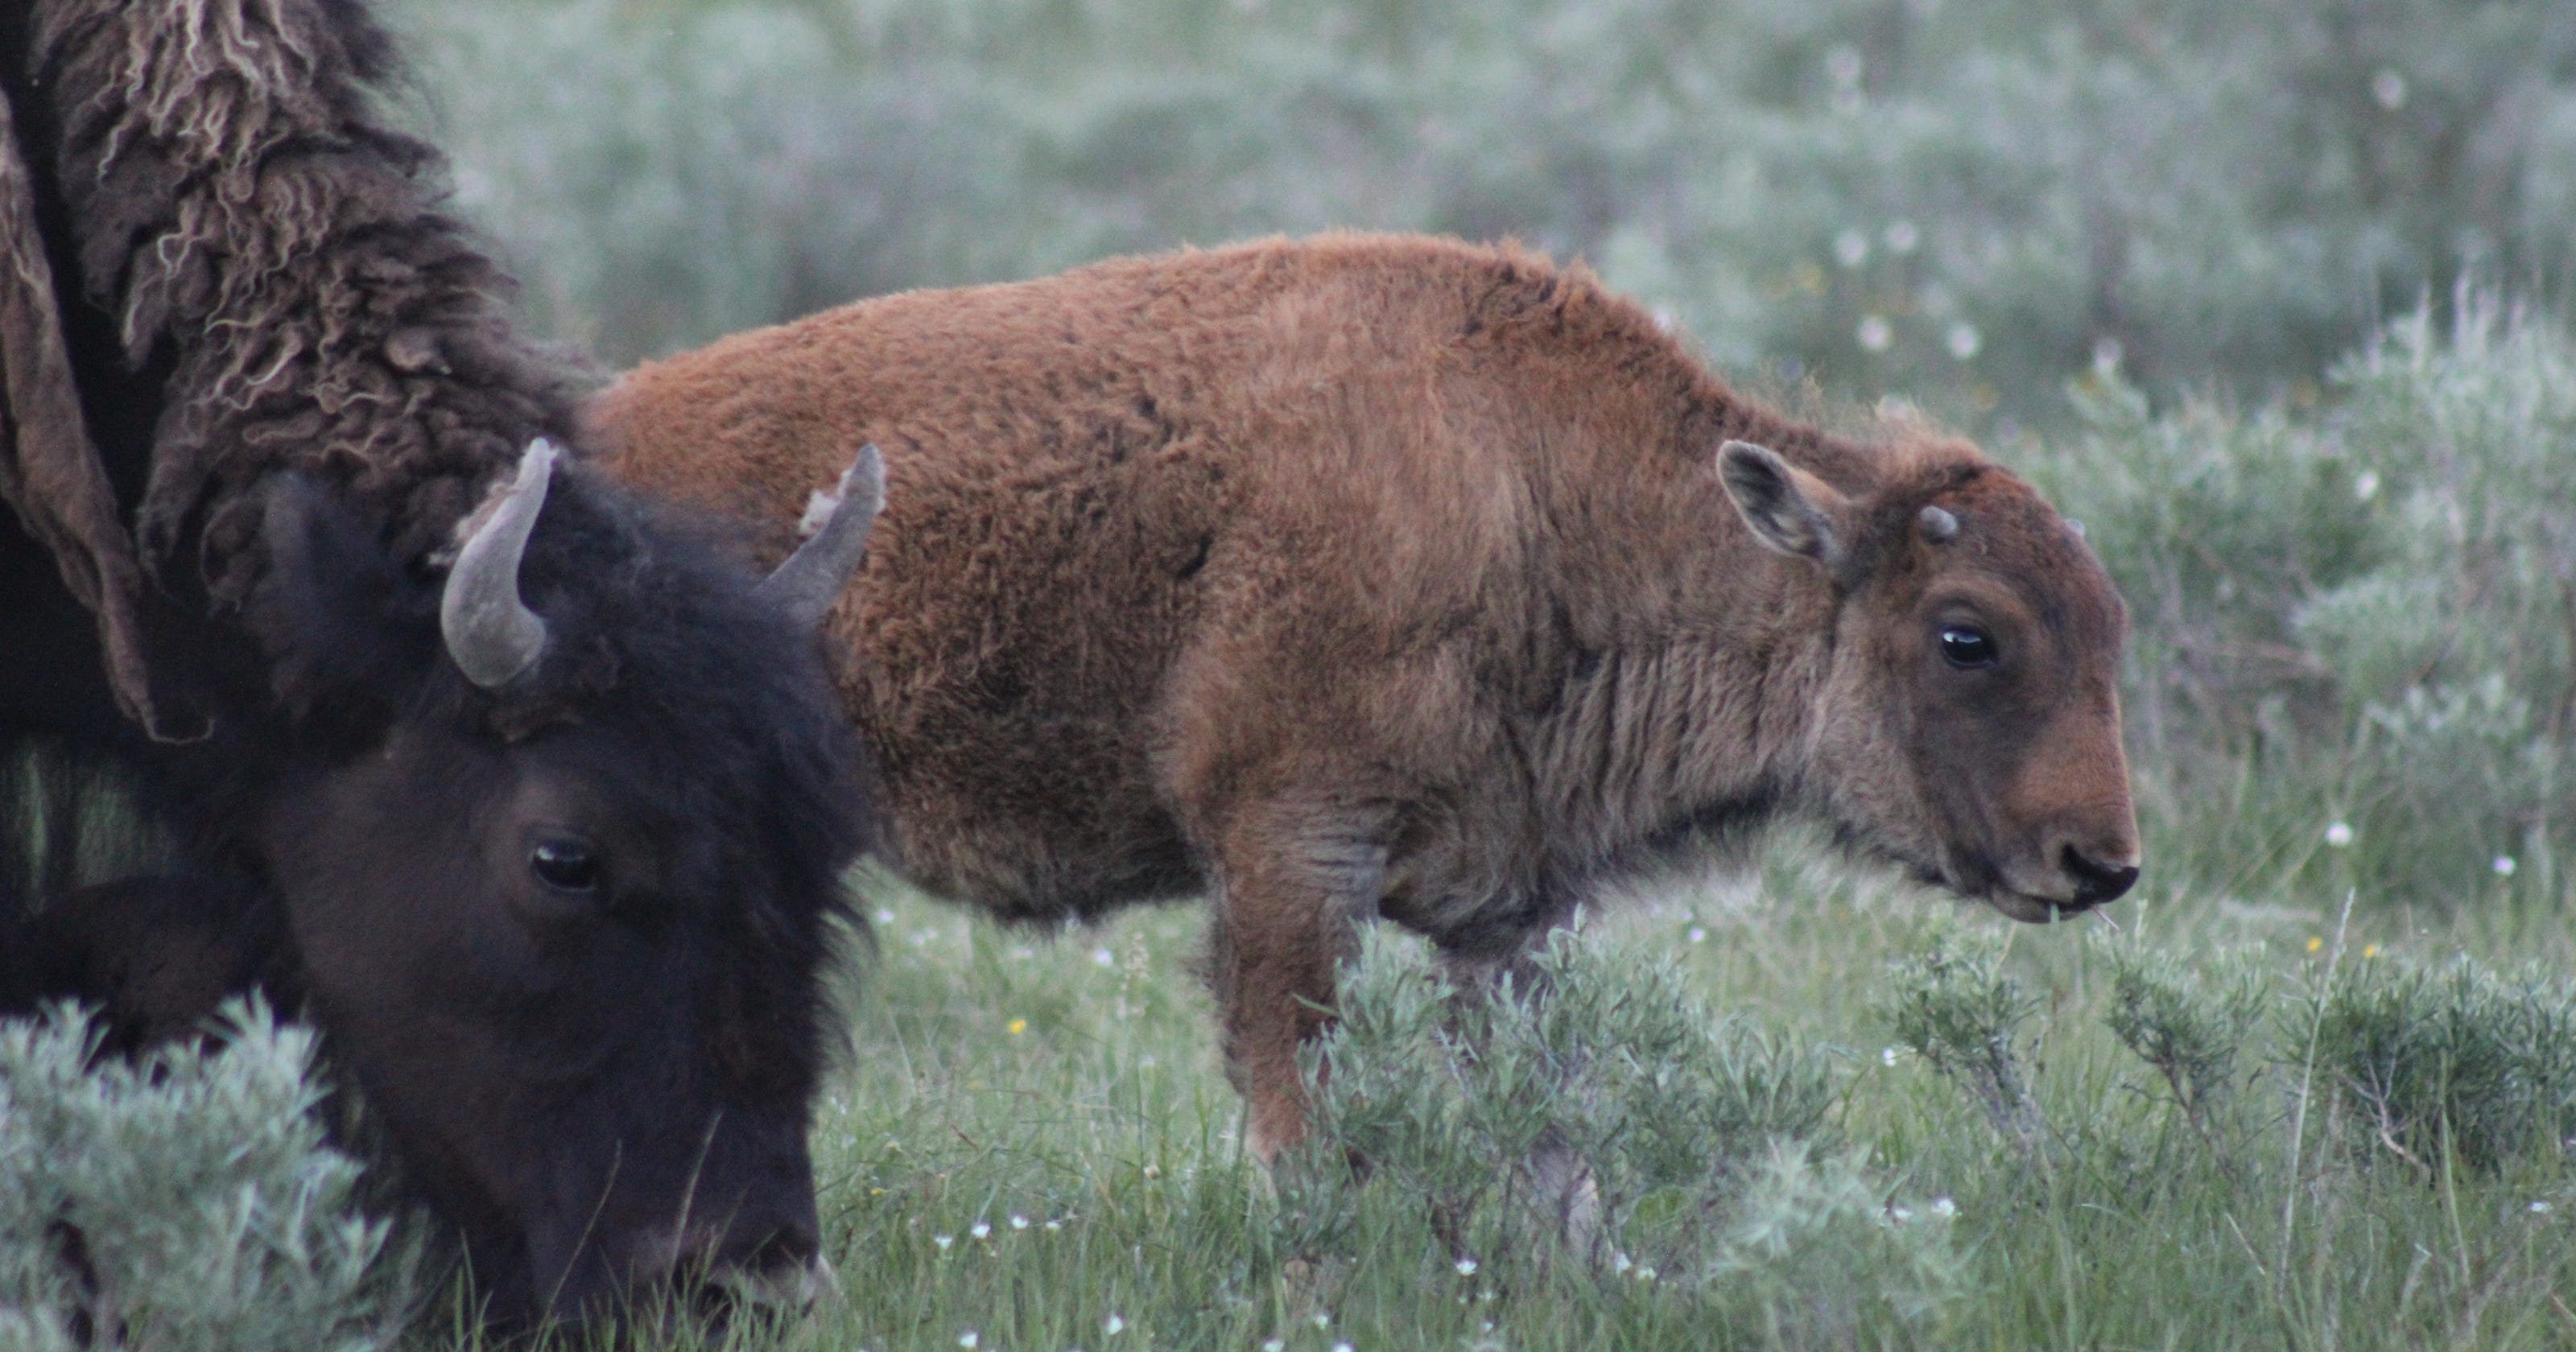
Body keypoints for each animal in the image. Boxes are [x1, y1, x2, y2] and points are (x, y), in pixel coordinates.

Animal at [590, 232, 2143, 1159]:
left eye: (2112, 625)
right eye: (1966, 635)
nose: (2104, 863)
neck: (1531, 491)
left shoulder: (1513, 911)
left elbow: (1551, 1145)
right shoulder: (1292, 855)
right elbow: (1308, 1130)